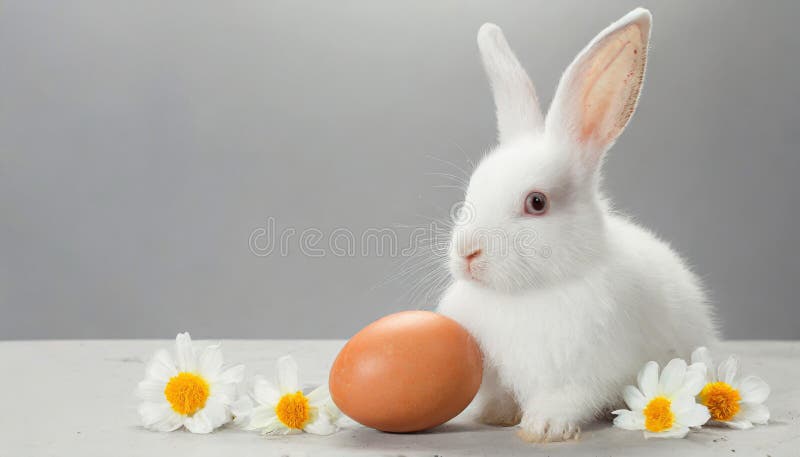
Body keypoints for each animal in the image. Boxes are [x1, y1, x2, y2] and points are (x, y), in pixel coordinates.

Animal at [436, 8, 717, 443]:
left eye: (537, 203)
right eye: (470, 193)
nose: (467, 253)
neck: (527, 294)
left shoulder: (587, 371)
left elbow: (567, 398)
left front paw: (543, 428)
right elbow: (500, 394)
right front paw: (497, 416)